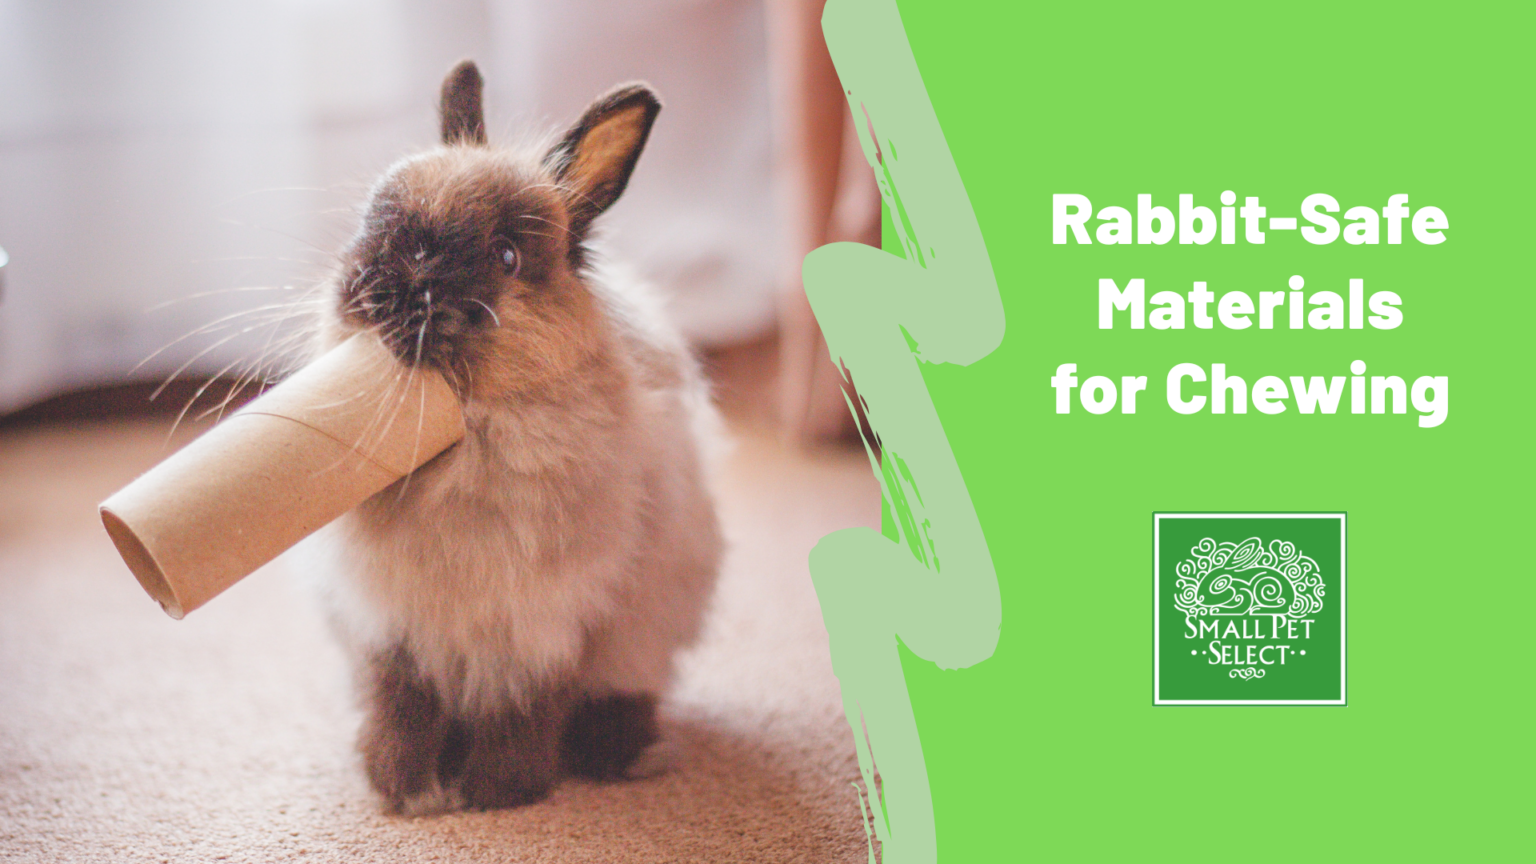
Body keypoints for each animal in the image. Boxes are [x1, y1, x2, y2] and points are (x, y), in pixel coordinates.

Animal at [306, 60, 722, 814]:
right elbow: (401, 705)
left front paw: (496, 795)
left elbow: (525, 710)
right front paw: (405, 790)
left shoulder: (547, 625)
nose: (388, 290)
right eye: (374, 220)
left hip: (642, 637)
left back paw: (624, 754)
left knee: (623, 697)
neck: (466, 448)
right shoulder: (389, 627)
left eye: (505, 256)